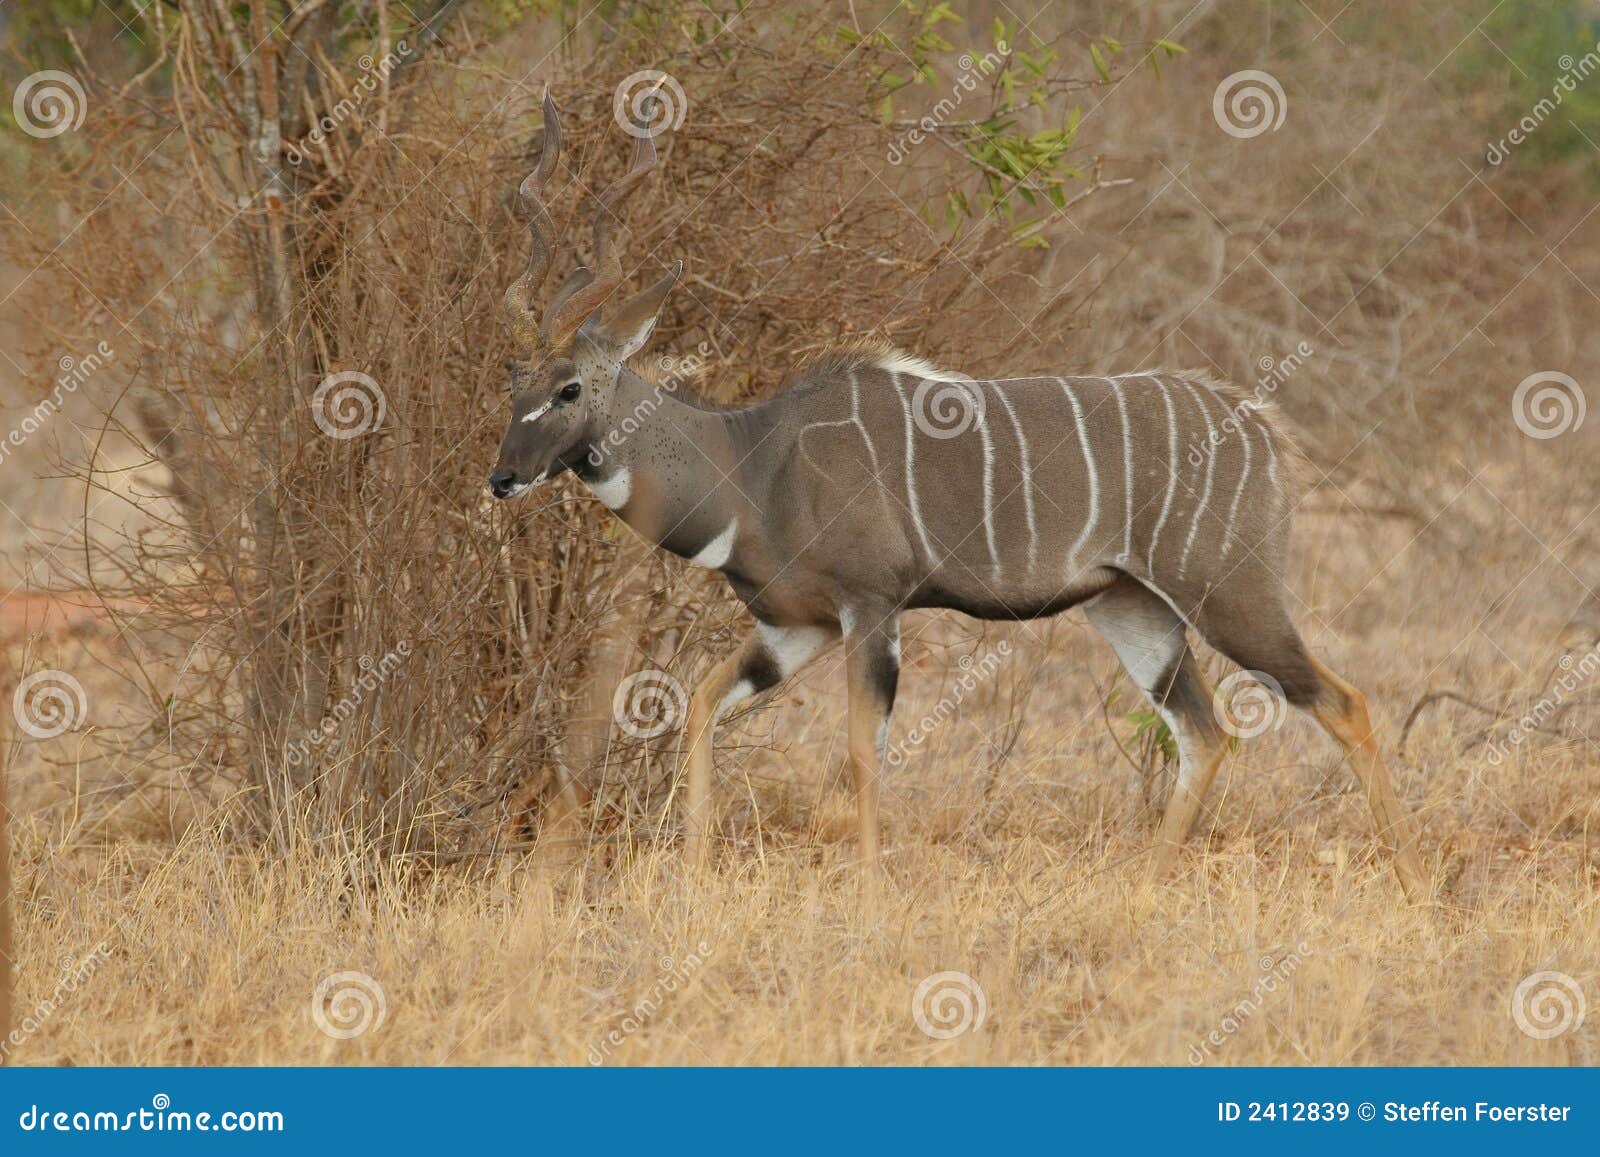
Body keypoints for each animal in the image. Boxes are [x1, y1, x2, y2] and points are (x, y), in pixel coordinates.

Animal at [487, 94, 1428, 902]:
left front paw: (868, 891)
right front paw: (690, 875)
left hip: (1229, 595)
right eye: (512, 376)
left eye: (571, 387)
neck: (753, 466)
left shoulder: (871, 607)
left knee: (1342, 702)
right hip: (1132, 608)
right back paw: (1145, 888)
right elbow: (700, 707)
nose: (502, 476)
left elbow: (863, 749)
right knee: (1205, 732)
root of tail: (1260, 427)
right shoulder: (793, 628)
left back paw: (1412, 883)